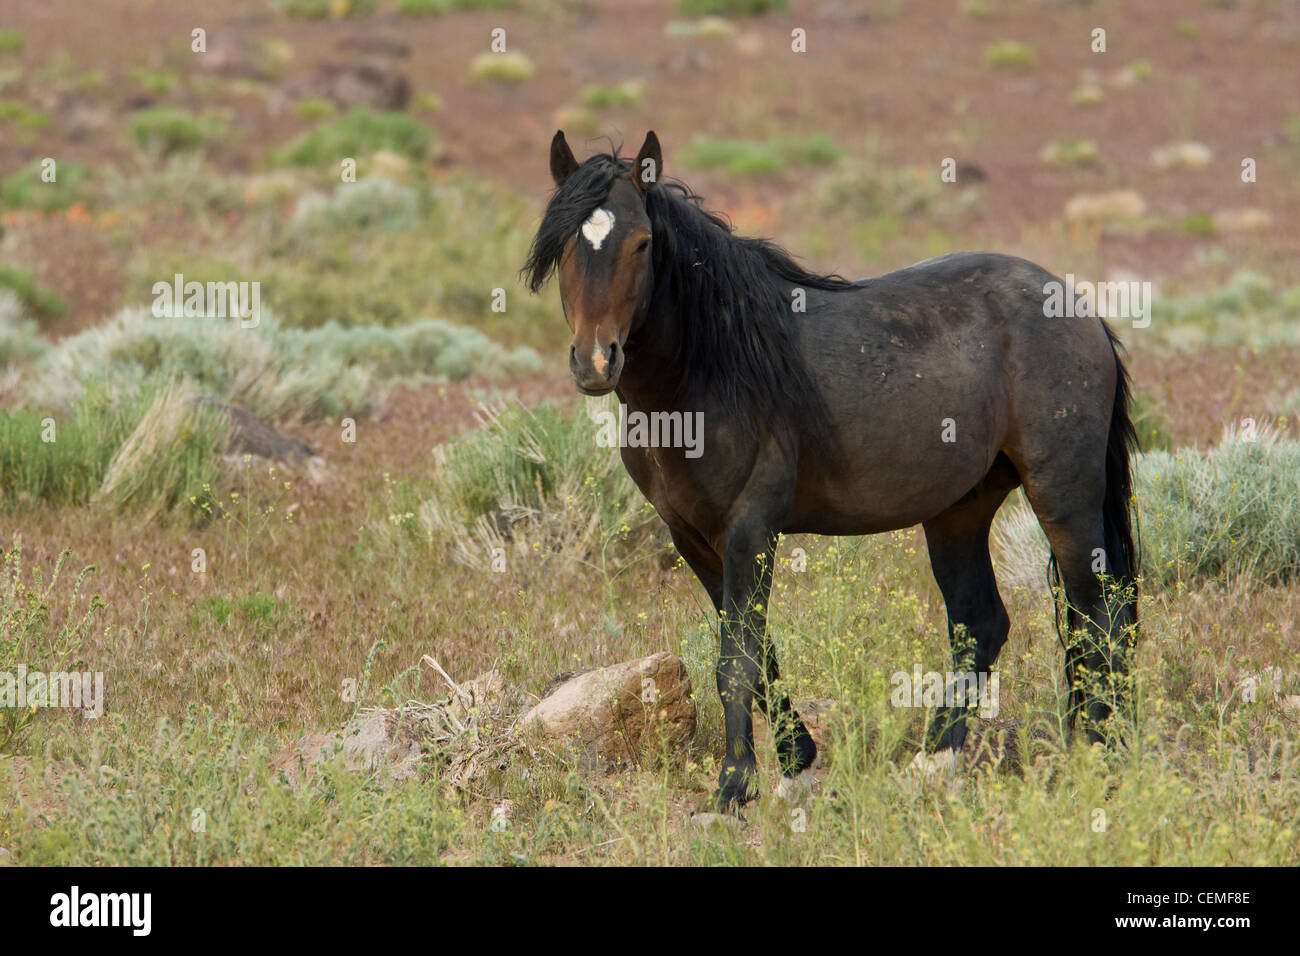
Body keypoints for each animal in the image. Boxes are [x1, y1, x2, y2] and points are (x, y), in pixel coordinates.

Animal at [524, 130, 1140, 811]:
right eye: (562, 247)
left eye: (642, 243)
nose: (595, 361)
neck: (710, 371)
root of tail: (1080, 310)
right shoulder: (693, 539)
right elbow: (759, 653)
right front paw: (796, 758)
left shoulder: (750, 529)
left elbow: (736, 659)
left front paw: (734, 785)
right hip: (959, 511)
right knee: (982, 623)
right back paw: (934, 759)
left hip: (1065, 497)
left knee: (1097, 616)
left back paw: (1100, 752)